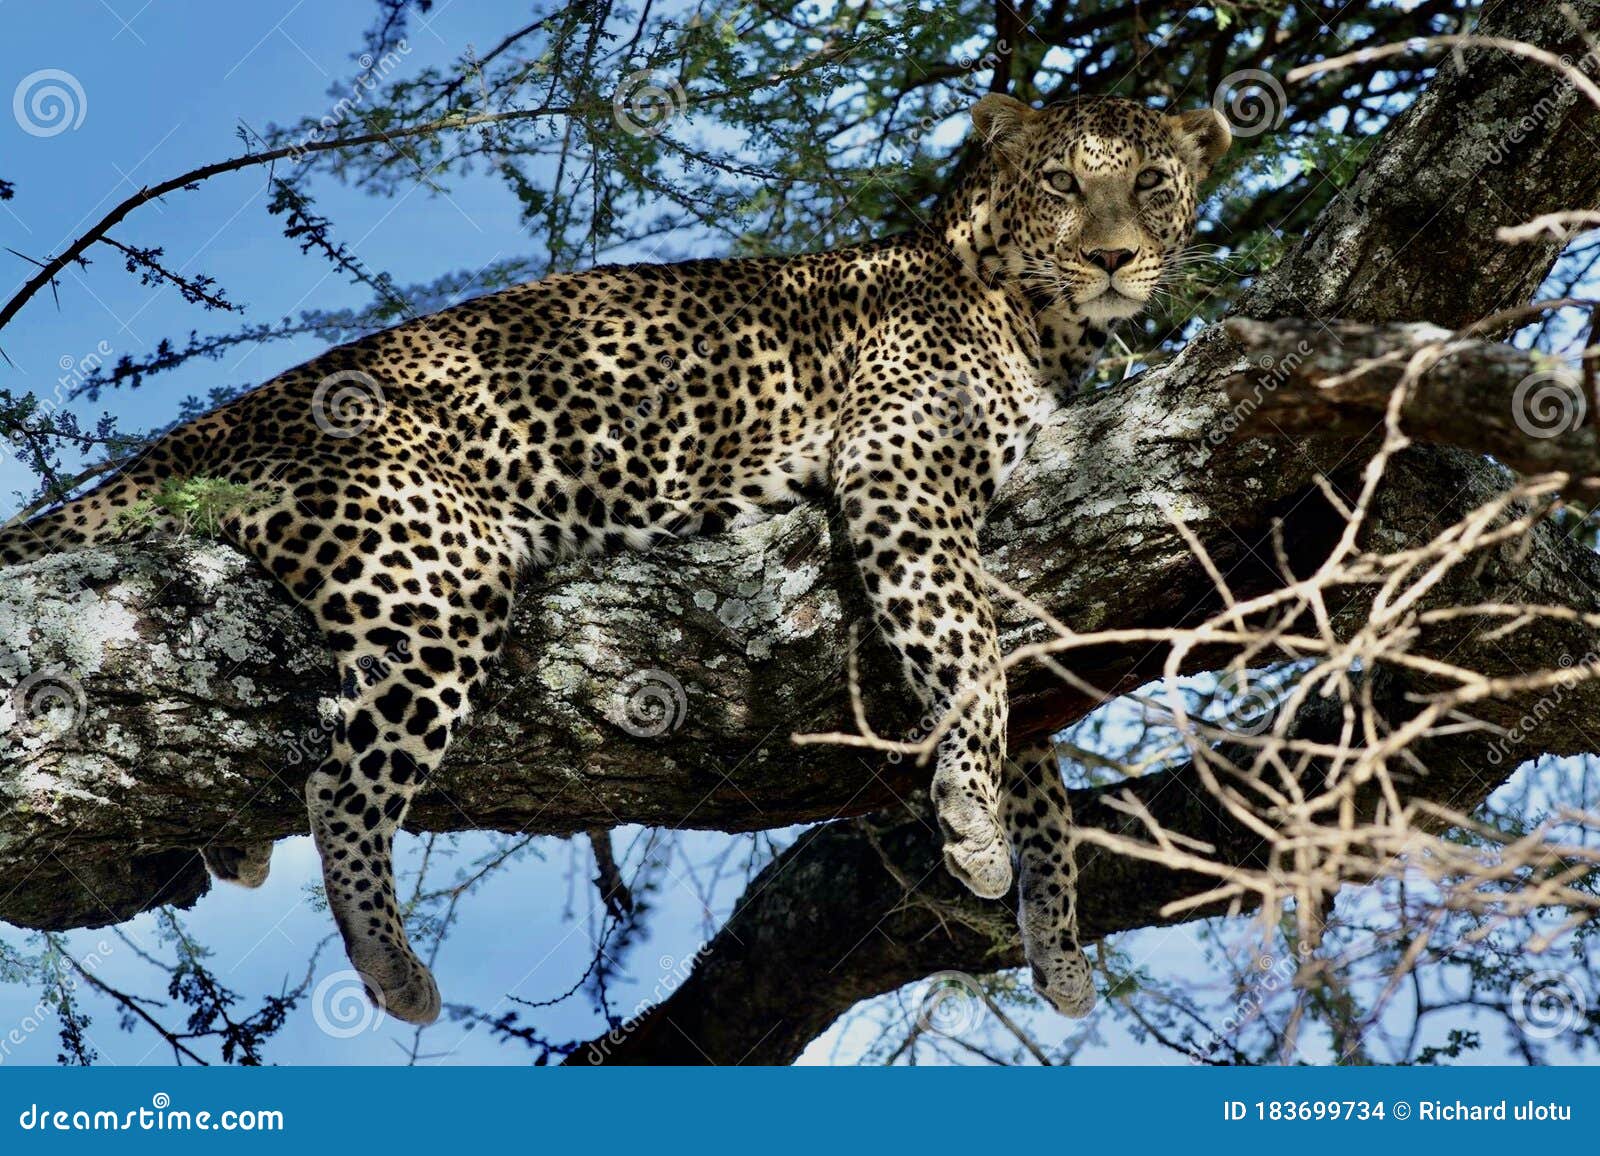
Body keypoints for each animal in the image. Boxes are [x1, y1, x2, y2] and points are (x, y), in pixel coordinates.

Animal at [0, 94, 1229, 1025]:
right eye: (1063, 182)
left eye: (1150, 184)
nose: (1113, 257)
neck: (1032, 318)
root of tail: (208, 427)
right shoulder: (899, 473)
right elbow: (971, 663)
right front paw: (974, 826)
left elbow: (1035, 741)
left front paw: (1055, 936)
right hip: (438, 567)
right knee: (340, 781)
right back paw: (391, 967)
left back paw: (238, 858)